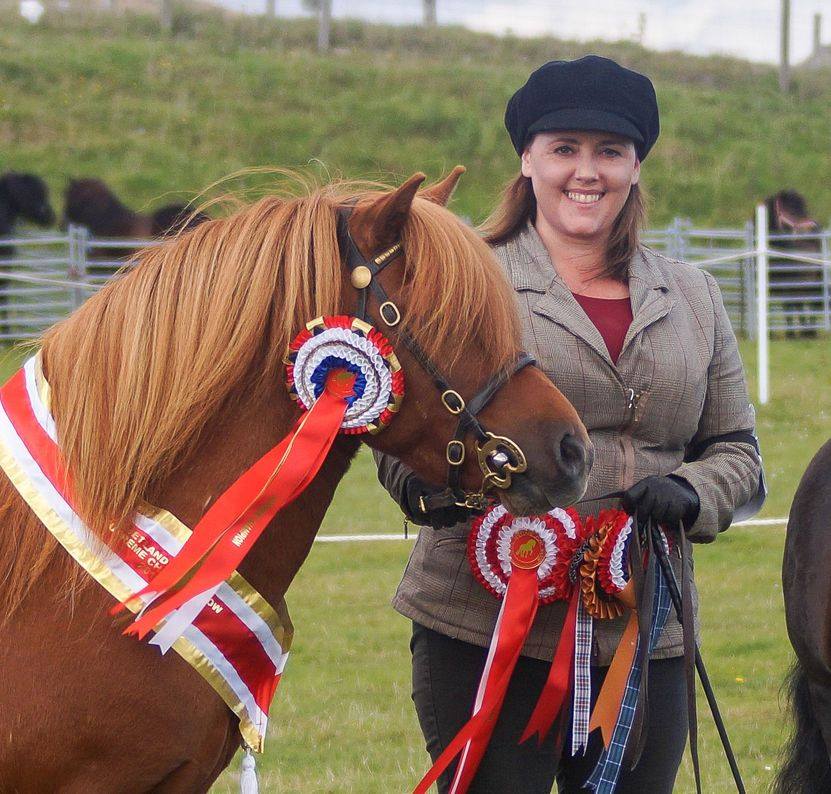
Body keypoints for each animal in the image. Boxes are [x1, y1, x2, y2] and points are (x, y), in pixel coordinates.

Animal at [764, 190, 823, 338]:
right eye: (789, 211)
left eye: (803, 209)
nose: (813, 226)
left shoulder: (792, 282)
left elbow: (794, 304)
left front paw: (793, 333)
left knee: (810, 300)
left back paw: (809, 331)